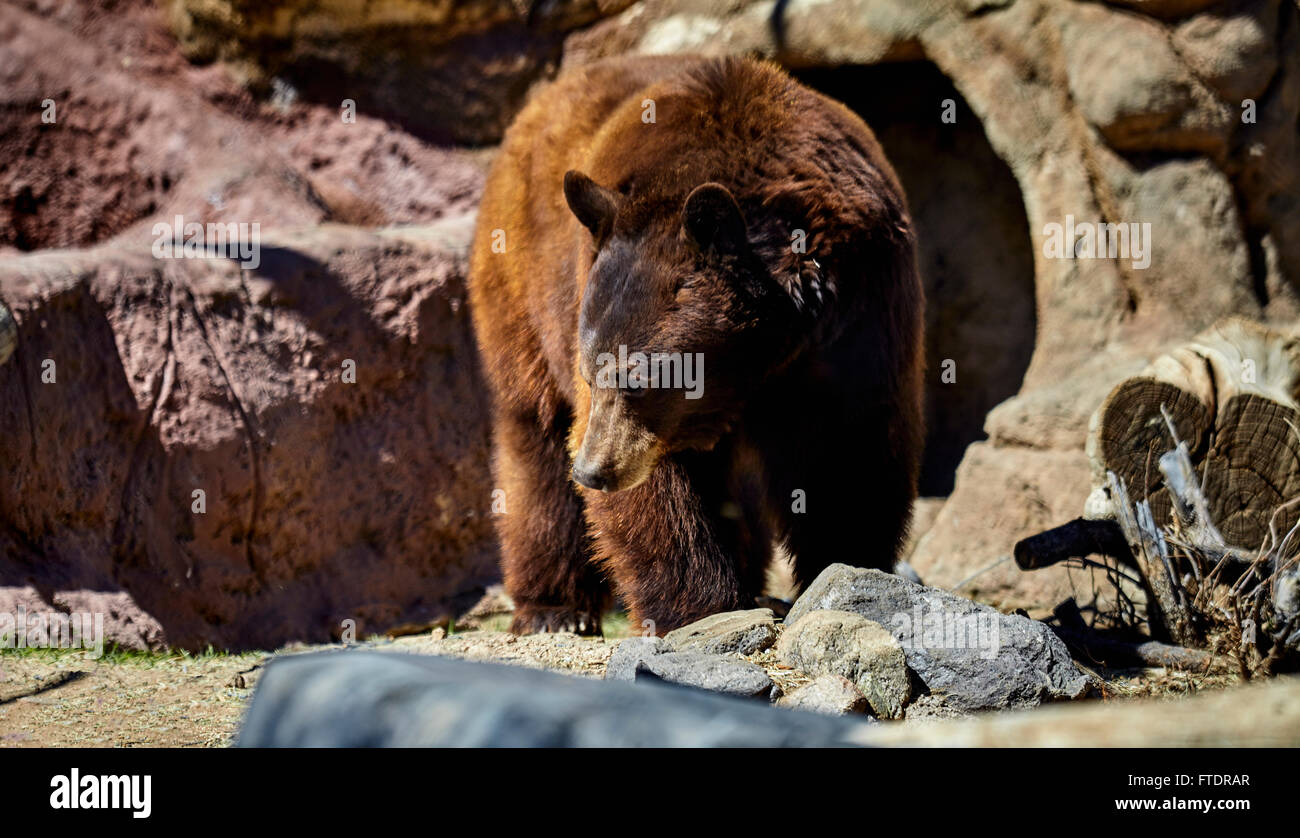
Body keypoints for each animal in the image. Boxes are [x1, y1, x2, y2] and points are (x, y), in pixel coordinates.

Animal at [467, 55, 924, 636]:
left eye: (641, 379)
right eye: (593, 372)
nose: (593, 470)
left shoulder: (867, 302)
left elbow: (850, 443)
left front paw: (847, 569)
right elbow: (658, 493)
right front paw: (699, 608)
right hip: (521, 287)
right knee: (536, 435)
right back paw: (554, 608)